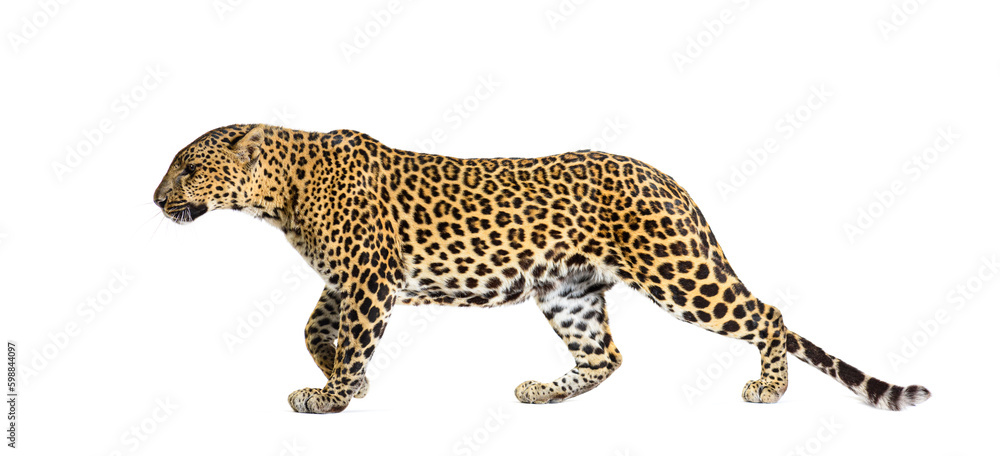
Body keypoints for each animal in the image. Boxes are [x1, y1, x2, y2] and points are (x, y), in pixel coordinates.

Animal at [153, 123, 931, 413]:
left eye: (188, 169)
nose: (157, 200)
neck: (280, 193)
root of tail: (669, 180)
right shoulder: (349, 279)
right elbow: (319, 330)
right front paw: (346, 380)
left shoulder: (370, 277)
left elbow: (347, 341)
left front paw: (335, 398)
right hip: (567, 289)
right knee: (606, 355)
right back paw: (544, 392)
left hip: (676, 272)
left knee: (766, 312)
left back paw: (769, 388)